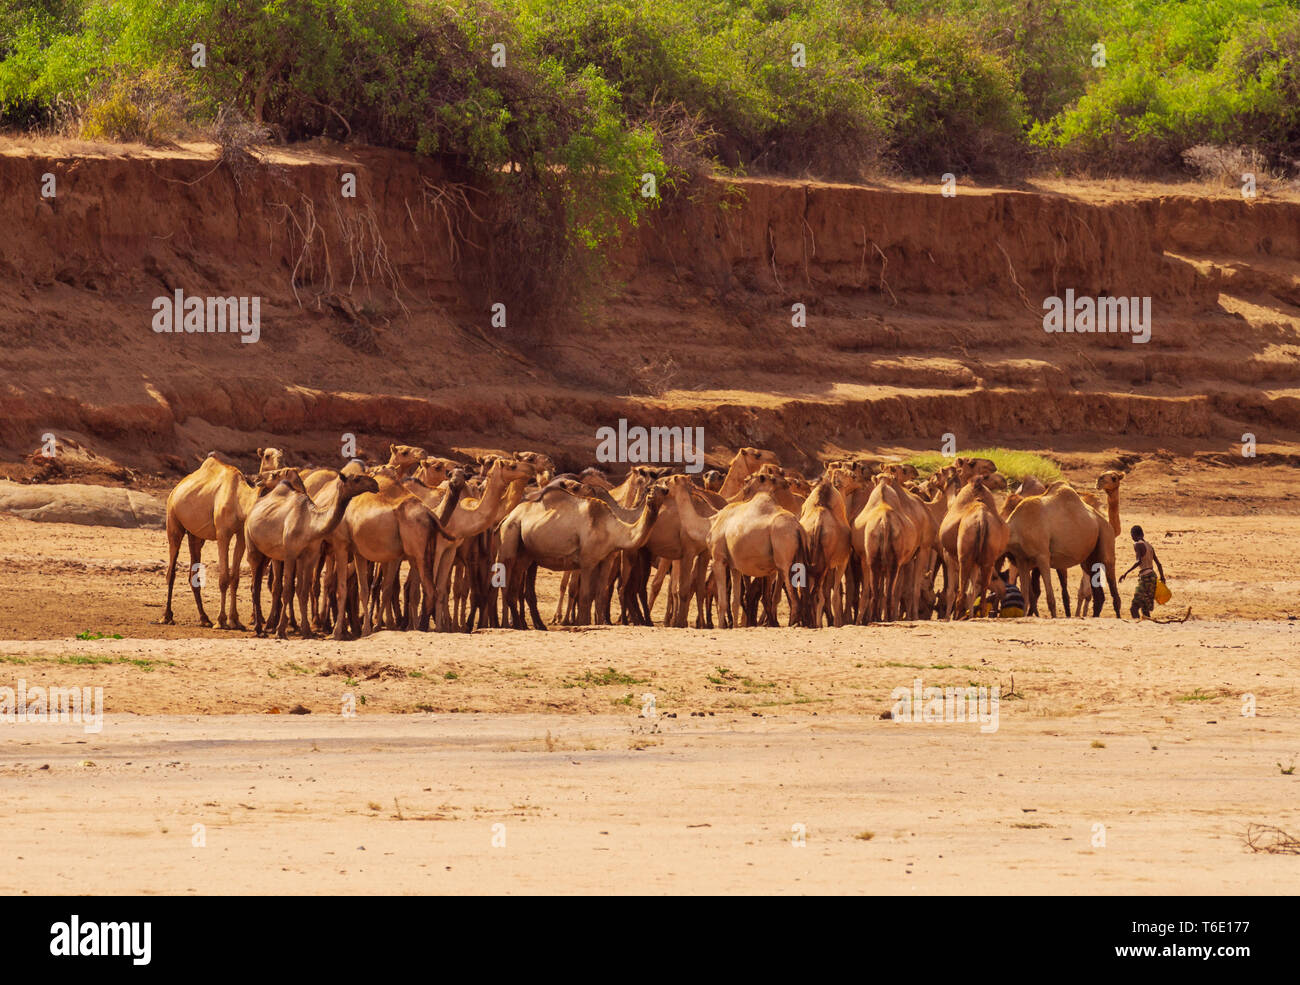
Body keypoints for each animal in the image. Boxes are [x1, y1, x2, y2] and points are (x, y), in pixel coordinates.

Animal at [245, 470, 379, 638]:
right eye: (356, 479)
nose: (375, 484)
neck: (310, 524)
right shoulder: (290, 554)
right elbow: (287, 590)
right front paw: (281, 630)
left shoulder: (310, 556)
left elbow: (302, 590)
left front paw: (307, 630)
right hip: (252, 548)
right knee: (256, 587)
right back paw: (259, 627)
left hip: (267, 555)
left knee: (260, 585)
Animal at [498, 482, 667, 629]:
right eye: (650, 489)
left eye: (663, 490)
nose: (650, 496)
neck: (613, 529)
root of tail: (508, 516)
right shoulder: (587, 561)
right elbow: (585, 595)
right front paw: (583, 623)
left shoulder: (606, 559)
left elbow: (600, 594)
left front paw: (601, 623)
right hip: (510, 534)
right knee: (506, 581)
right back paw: (515, 625)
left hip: (525, 552)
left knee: (515, 587)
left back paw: (522, 625)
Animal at [707, 472, 810, 628]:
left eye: (745, 481)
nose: (786, 483)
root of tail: (798, 528)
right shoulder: (735, 566)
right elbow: (736, 601)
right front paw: (735, 626)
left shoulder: (718, 559)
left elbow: (723, 601)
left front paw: (722, 627)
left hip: (785, 560)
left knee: (794, 597)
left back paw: (792, 623)